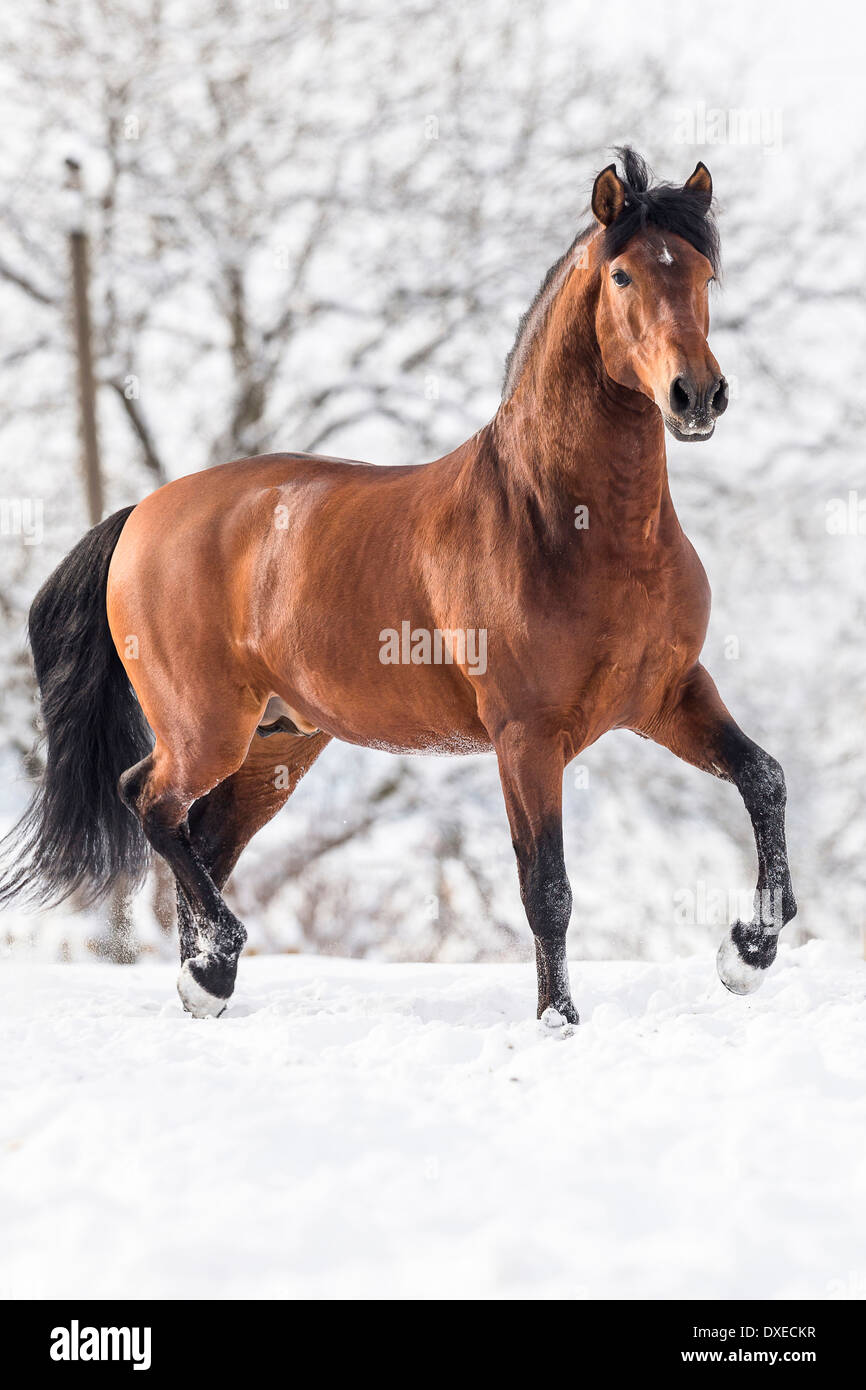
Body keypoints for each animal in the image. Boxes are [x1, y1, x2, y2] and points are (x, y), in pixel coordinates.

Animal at [0, 148, 796, 1024]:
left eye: (704, 273)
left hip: (279, 744)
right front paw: (560, 1022)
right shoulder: (526, 737)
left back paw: (205, 981)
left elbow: (764, 779)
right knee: (148, 803)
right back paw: (214, 966)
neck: (573, 526)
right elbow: (546, 889)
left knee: (200, 836)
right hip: (206, 729)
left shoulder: (668, 696)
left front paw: (750, 951)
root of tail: (143, 513)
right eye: (622, 274)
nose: (698, 396)